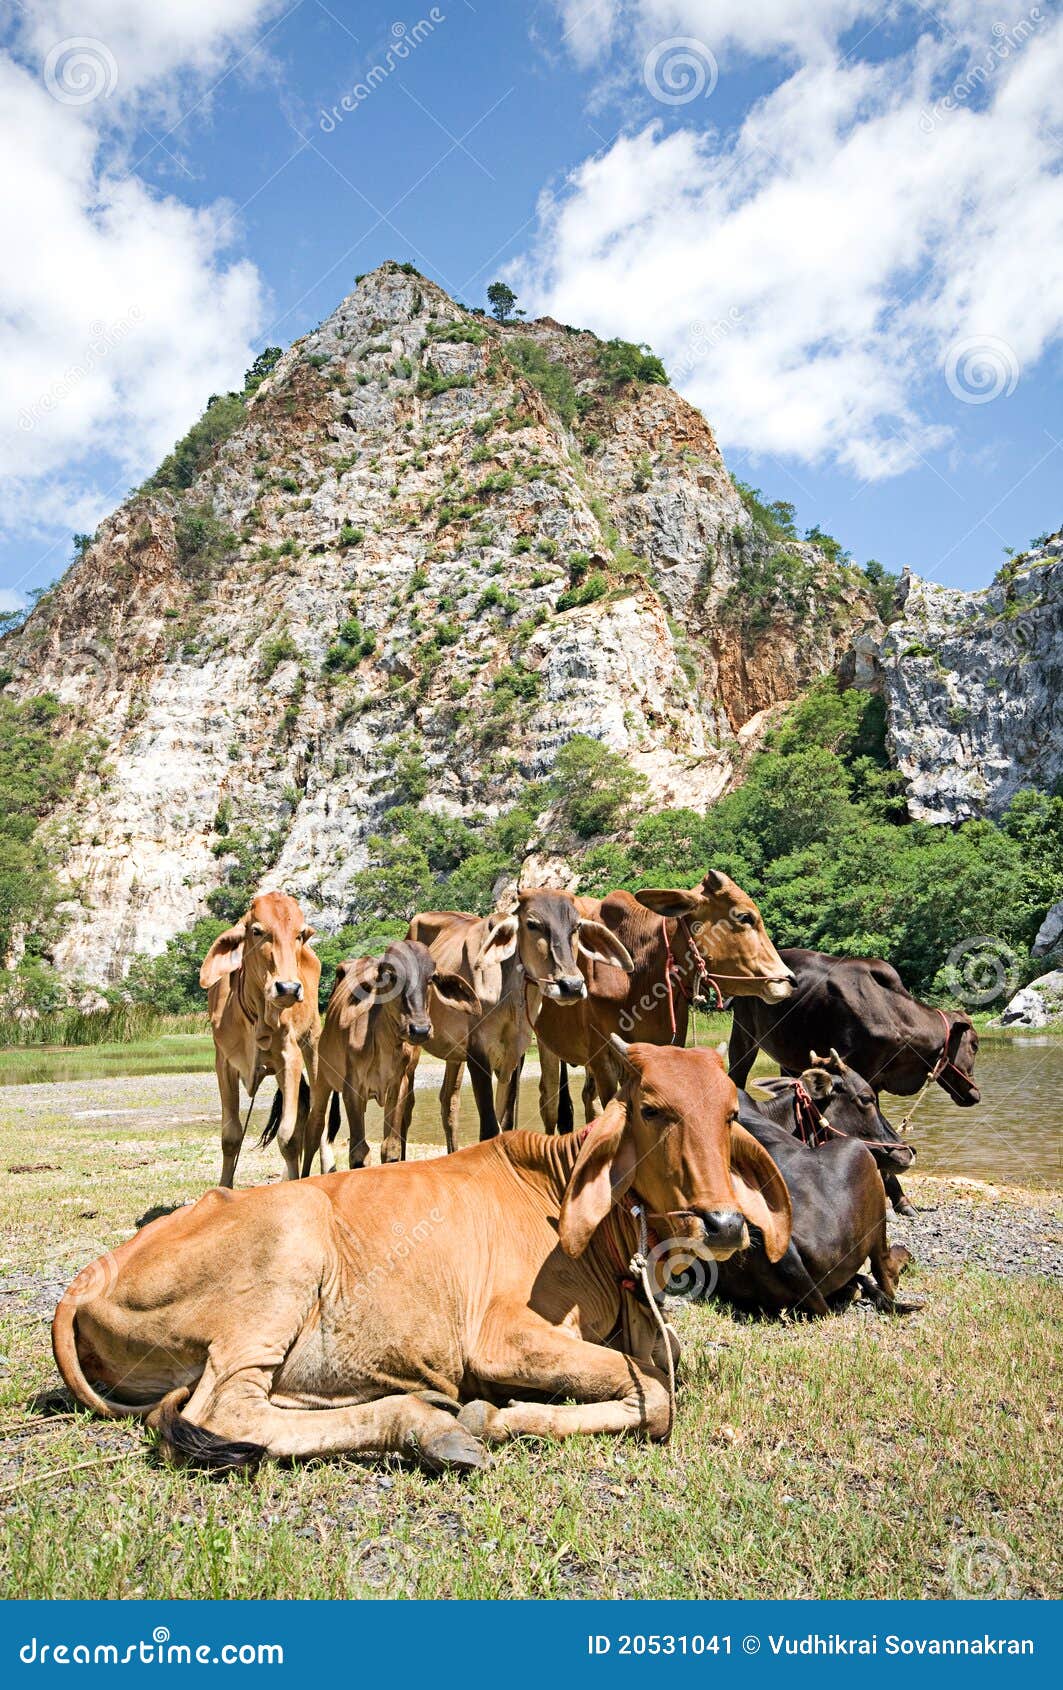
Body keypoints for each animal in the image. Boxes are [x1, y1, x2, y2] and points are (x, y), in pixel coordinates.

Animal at [51, 1042, 791, 1473]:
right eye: (650, 1108)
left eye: (730, 1113)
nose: (724, 1222)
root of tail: (85, 1280)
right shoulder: (500, 1337)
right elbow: (657, 1393)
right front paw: (498, 1416)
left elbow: (656, 1370)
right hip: (286, 1252)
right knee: (226, 1412)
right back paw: (433, 1429)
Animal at [199, 891, 321, 1187]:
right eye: (257, 931)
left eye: (300, 934)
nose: (288, 988)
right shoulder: (224, 1062)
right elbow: (231, 1136)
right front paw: (223, 1188)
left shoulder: (291, 1057)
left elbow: (288, 1137)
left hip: (313, 1044)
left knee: (317, 1118)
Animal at [302, 939, 480, 1171]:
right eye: (391, 976)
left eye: (430, 978)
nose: (419, 1029)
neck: (384, 1046)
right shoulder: (352, 1087)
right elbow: (359, 1153)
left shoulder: (399, 1084)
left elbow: (391, 1148)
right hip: (322, 1079)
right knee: (313, 1130)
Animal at [534, 871, 795, 1130]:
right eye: (744, 916)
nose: (788, 979)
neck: (638, 972)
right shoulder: (603, 1060)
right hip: (546, 1045)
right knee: (550, 1103)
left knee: (588, 1098)